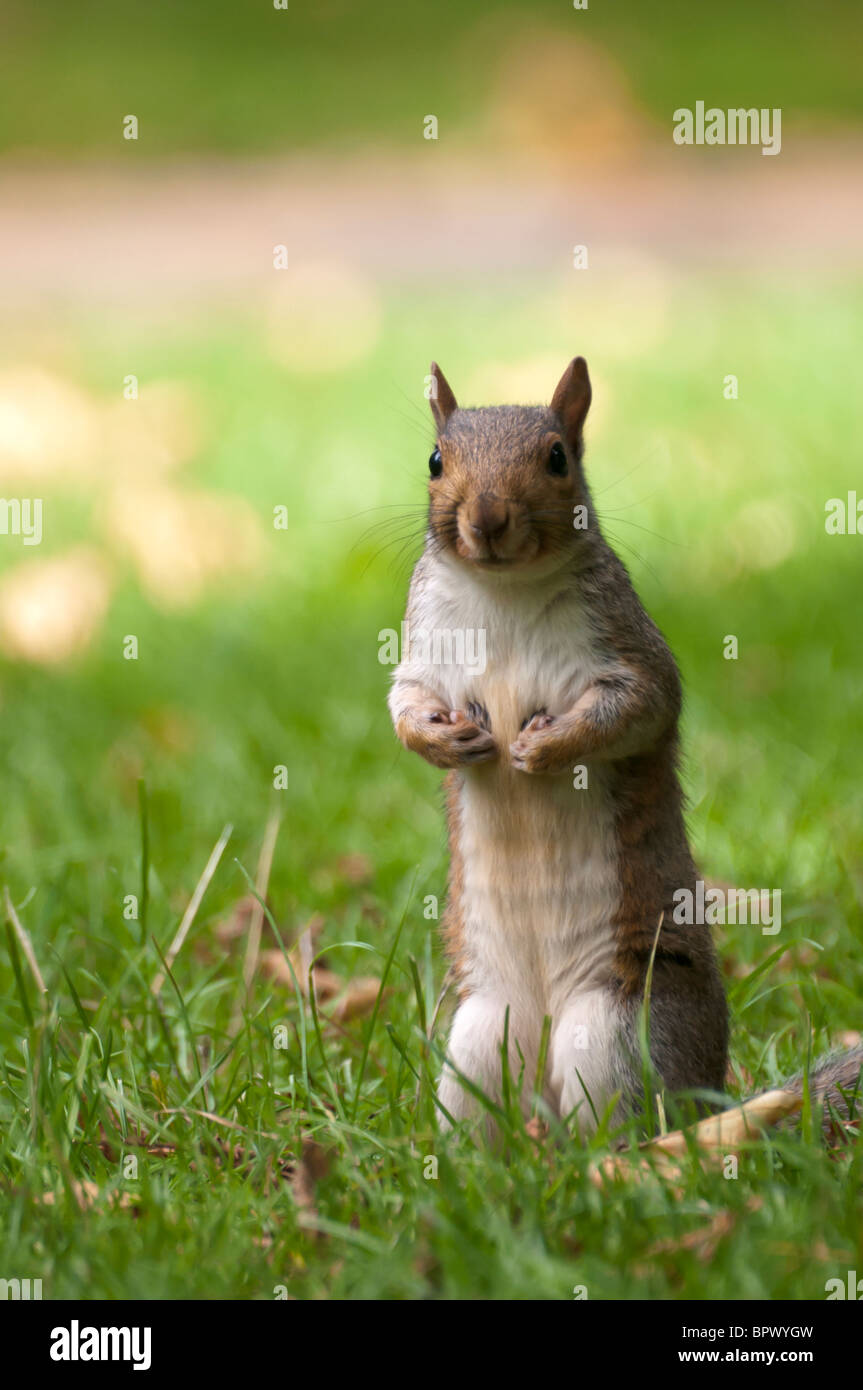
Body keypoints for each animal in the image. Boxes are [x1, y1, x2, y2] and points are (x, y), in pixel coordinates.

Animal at [388, 357, 863, 1138]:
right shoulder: (423, 650)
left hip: (616, 1032)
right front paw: (446, 738)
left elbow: (638, 708)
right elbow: (403, 706)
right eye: (434, 461)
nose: (486, 520)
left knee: (624, 1121)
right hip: (479, 1042)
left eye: (557, 458)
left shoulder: (626, 650)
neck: (503, 591)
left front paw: (545, 750)